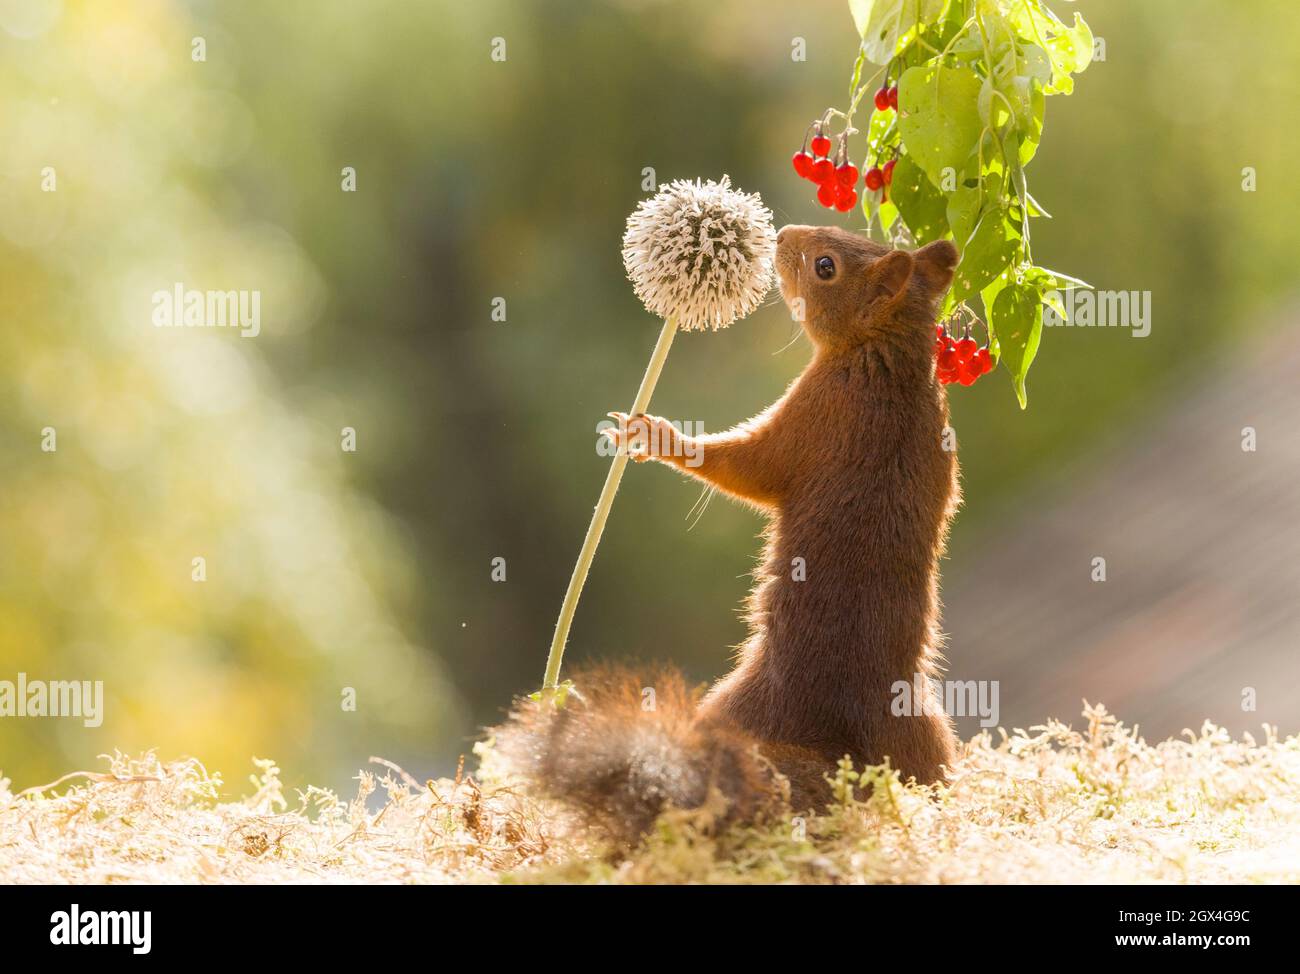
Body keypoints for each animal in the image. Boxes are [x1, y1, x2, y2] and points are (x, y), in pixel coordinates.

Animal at [498, 225, 964, 843]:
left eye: (825, 266)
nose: (784, 233)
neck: (889, 356)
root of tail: (852, 749)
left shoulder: (817, 411)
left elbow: (749, 467)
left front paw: (657, 435)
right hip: (929, 737)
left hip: (730, 708)